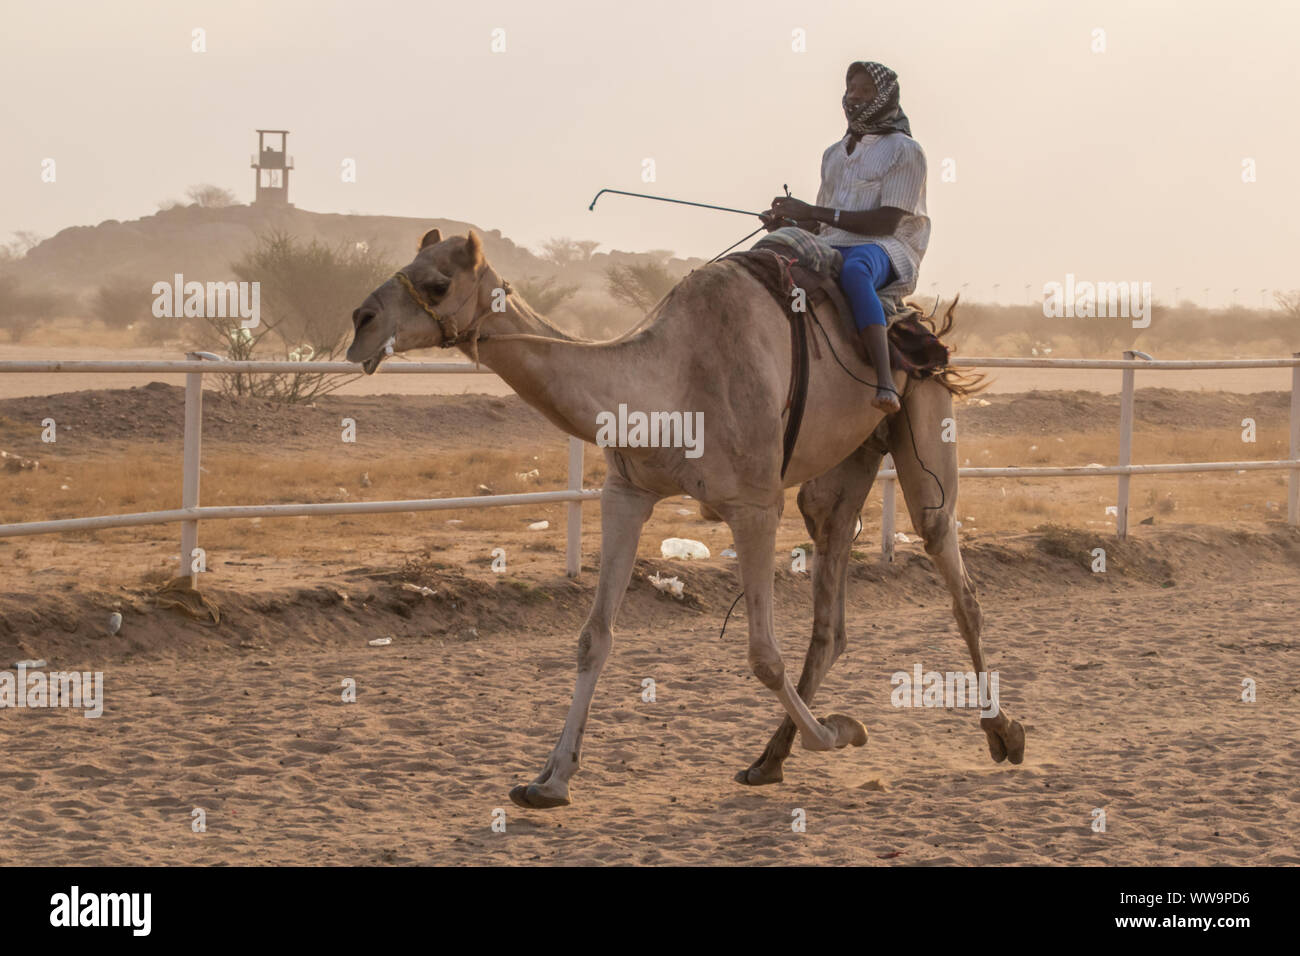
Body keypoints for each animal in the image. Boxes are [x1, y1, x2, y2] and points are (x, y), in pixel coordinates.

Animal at [346, 228, 1026, 808]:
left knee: (954, 572)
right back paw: (768, 761)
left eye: (436, 283)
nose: (359, 324)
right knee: (830, 608)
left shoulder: (754, 504)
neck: (667, 386)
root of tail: (914, 318)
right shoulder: (625, 493)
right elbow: (594, 637)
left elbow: (762, 655)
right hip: (844, 466)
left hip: (922, 414)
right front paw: (549, 780)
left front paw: (842, 732)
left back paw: (1004, 733)